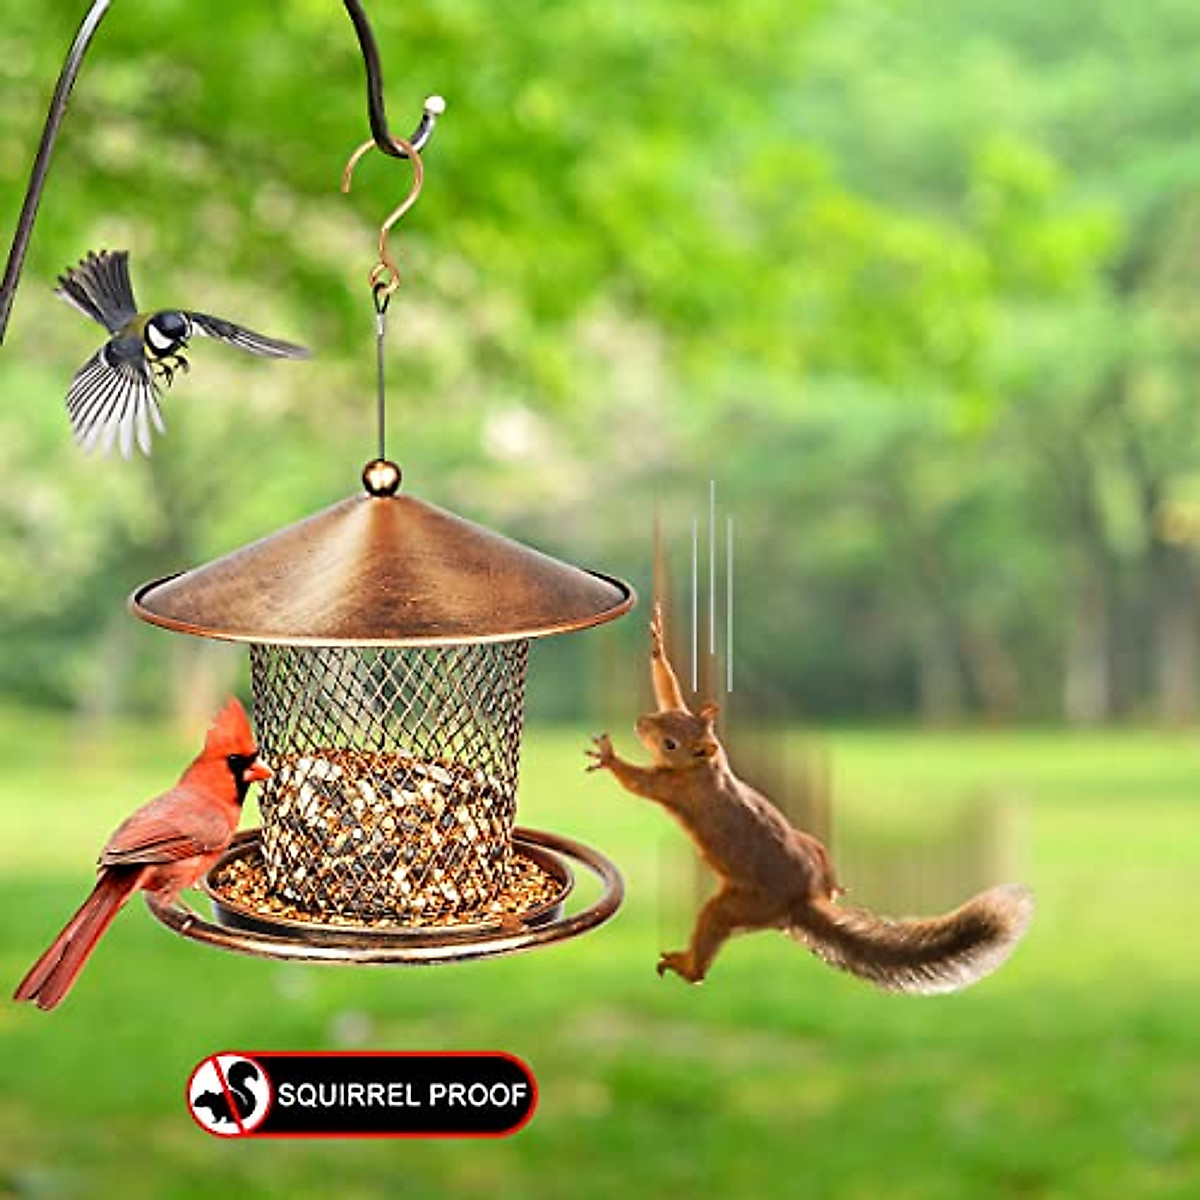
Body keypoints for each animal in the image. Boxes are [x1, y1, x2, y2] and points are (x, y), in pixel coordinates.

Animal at [586, 604, 1034, 993]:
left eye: (670, 742)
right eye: (665, 719)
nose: (640, 722)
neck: (705, 767)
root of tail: (799, 902)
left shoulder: (676, 788)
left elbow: (639, 783)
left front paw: (608, 758)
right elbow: (670, 686)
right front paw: (658, 645)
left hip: (740, 905)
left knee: (710, 934)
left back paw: (686, 966)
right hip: (812, 847)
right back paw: (833, 888)